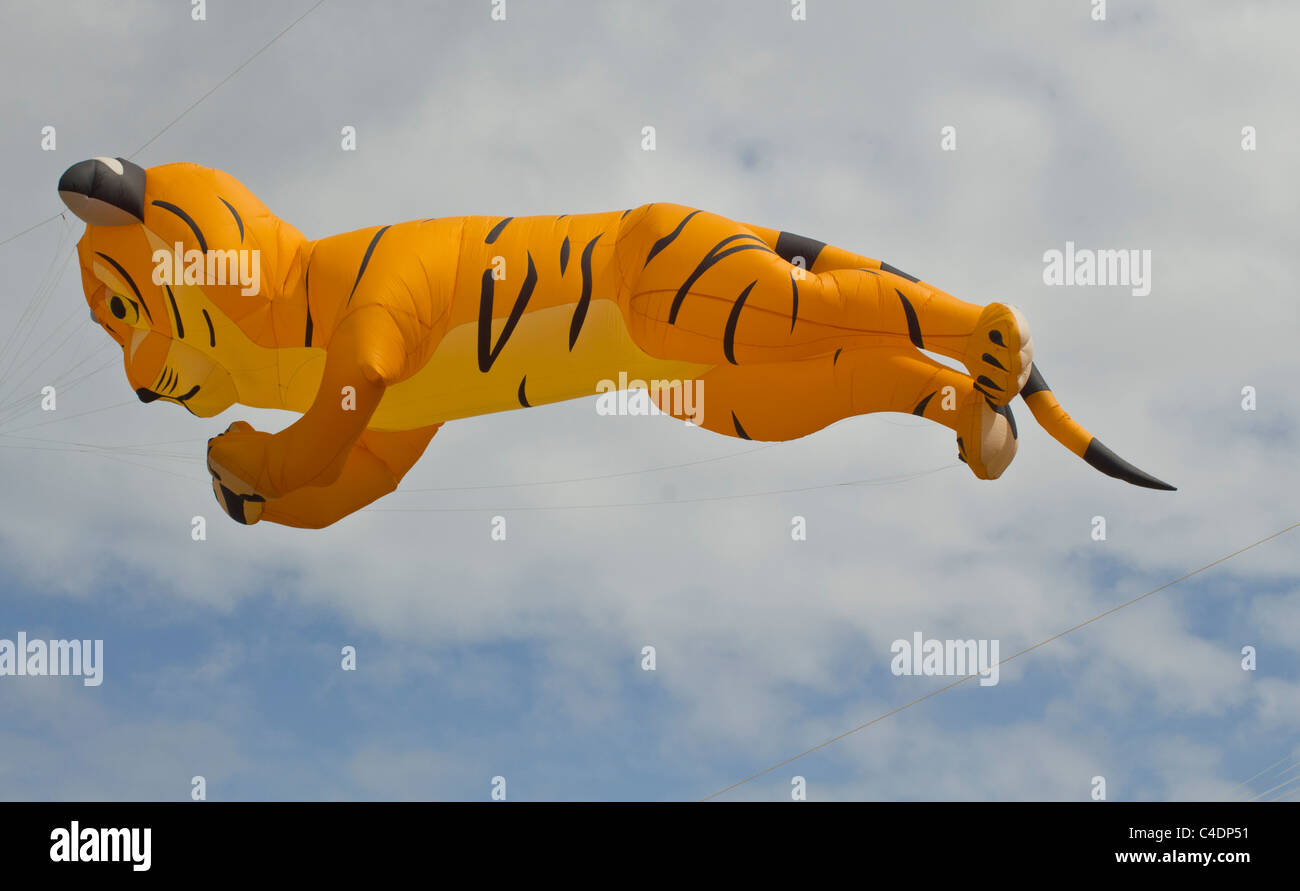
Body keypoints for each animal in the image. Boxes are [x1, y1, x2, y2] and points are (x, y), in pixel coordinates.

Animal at [56, 157, 1173, 528]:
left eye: (116, 307)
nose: (140, 390)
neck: (288, 290)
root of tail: (716, 212)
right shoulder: (399, 420)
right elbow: (355, 472)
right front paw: (244, 487)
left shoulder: (374, 329)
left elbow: (327, 423)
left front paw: (243, 461)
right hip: (743, 391)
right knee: (878, 366)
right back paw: (986, 423)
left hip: (710, 291)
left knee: (883, 305)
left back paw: (1000, 339)